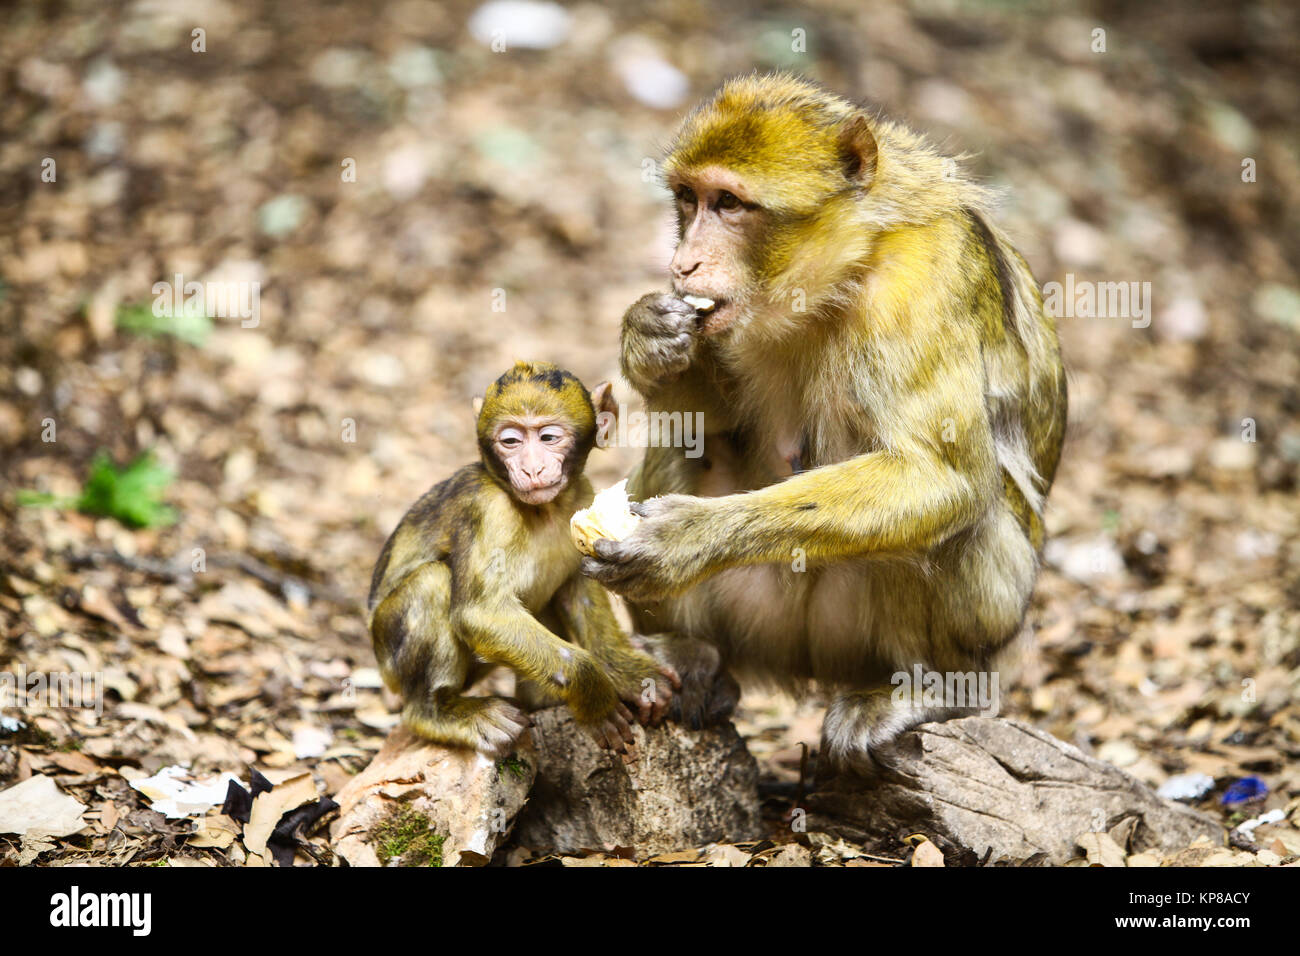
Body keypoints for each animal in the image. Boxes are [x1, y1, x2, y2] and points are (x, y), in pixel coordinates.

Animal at [367, 360, 678, 759]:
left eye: (548, 437)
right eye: (511, 441)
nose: (531, 469)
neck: (544, 510)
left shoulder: (581, 494)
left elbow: (578, 590)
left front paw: (627, 672)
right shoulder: (488, 509)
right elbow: (481, 613)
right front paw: (594, 694)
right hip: (389, 656)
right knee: (432, 582)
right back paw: (438, 712)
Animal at [582, 73, 1068, 772]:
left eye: (729, 203)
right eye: (688, 199)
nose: (684, 264)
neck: (841, 273)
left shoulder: (923, 280)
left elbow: (941, 477)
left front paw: (687, 540)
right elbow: (712, 419)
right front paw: (647, 336)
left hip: (981, 620)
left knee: (945, 524)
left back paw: (934, 691)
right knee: (691, 447)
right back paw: (692, 656)